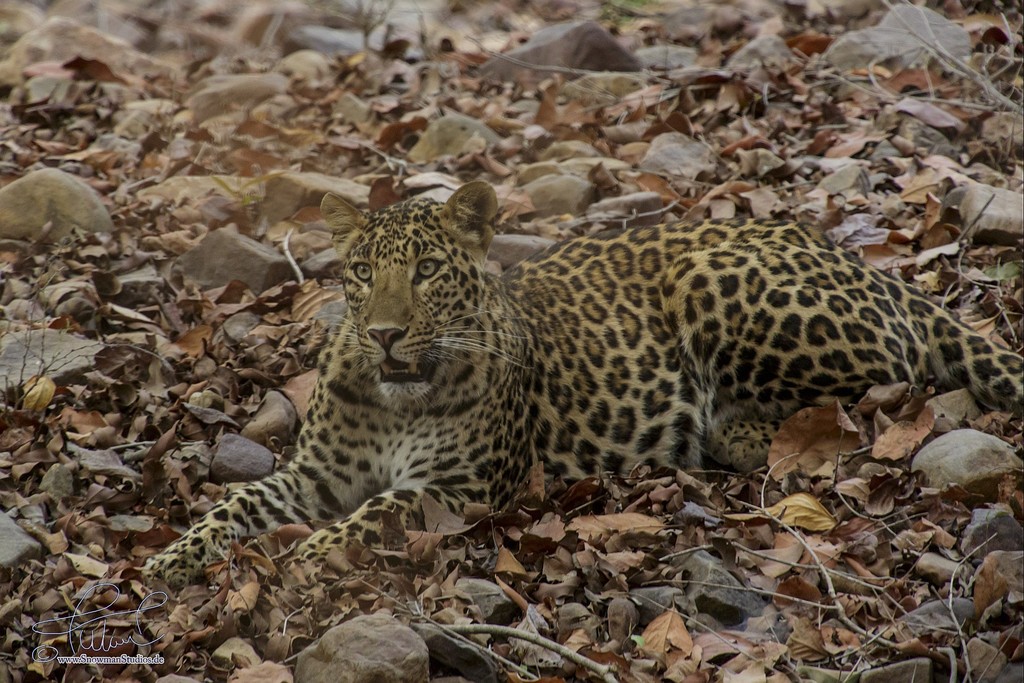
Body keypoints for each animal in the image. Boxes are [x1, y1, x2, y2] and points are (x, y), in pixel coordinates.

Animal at [144, 180, 1023, 587]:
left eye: (425, 271)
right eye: (362, 272)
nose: (386, 334)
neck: (398, 404)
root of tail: (852, 258)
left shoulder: (461, 487)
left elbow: (372, 514)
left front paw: (305, 555)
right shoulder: (315, 474)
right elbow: (235, 504)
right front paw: (168, 561)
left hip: (714, 283)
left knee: (891, 378)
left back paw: (739, 428)